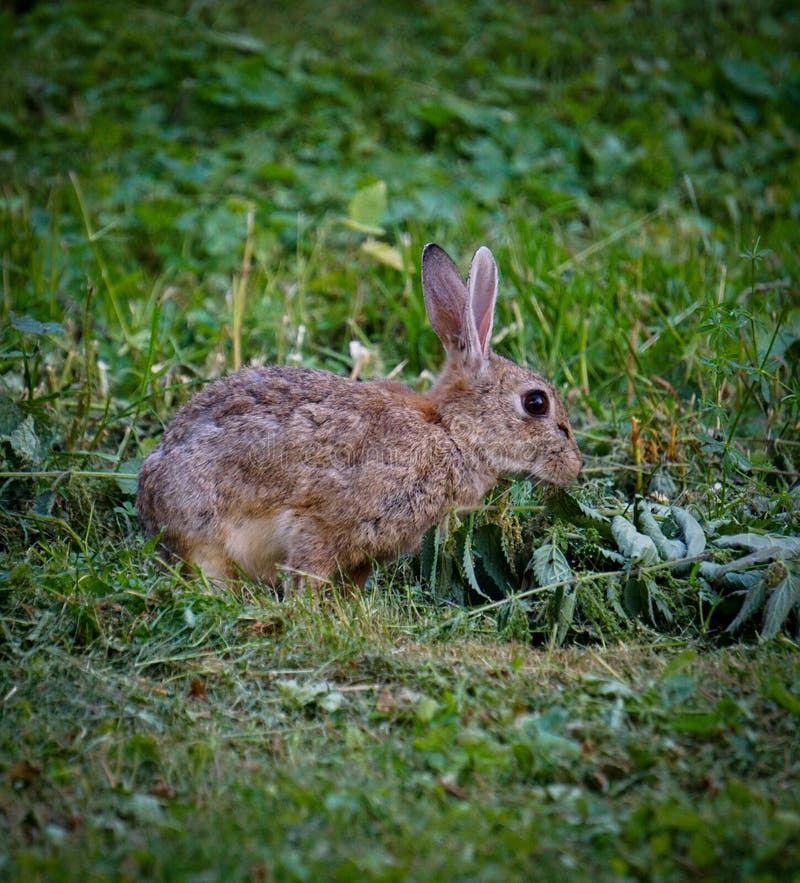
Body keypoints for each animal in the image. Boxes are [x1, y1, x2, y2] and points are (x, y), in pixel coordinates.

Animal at [137, 243, 582, 591]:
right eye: (536, 403)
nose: (575, 466)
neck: (449, 431)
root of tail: (149, 501)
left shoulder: (370, 549)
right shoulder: (323, 524)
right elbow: (309, 570)